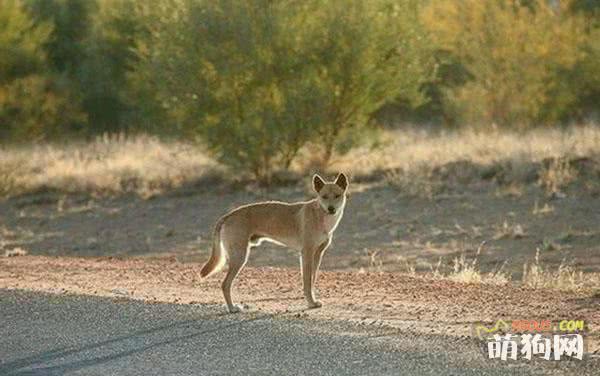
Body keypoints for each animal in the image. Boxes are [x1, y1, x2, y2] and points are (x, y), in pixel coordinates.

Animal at [200, 173, 346, 312]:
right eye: (324, 196)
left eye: (337, 196)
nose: (331, 209)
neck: (321, 217)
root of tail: (228, 215)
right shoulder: (306, 253)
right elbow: (307, 281)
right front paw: (310, 303)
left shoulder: (318, 254)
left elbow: (312, 279)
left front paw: (313, 300)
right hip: (239, 257)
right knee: (225, 284)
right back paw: (232, 308)